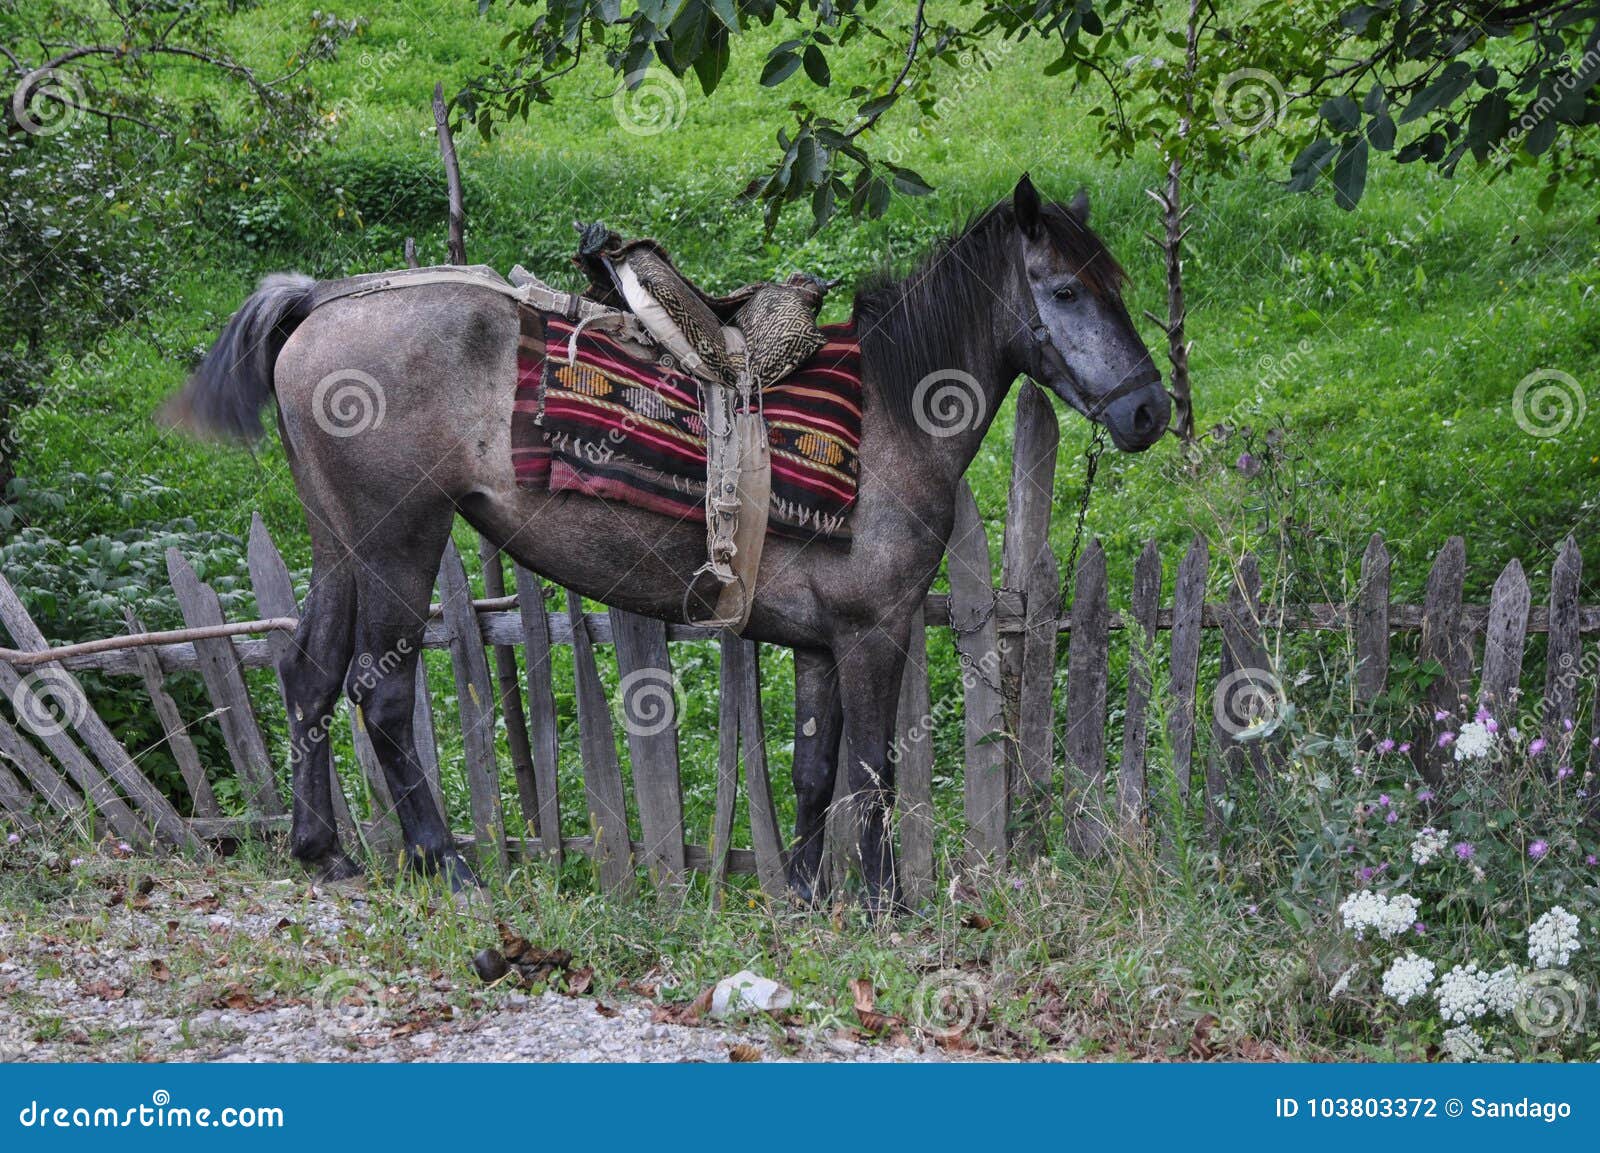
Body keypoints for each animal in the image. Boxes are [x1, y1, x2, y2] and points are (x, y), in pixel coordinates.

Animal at [169, 175, 1168, 910]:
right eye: (1067, 291)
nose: (1151, 411)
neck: (891, 412)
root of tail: (320, 300)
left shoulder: (820, 642)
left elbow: (814, 770)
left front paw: (805, 893)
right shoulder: (875, 633)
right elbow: (872, 769)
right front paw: (884, 902)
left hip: (339, 541)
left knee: (308, 672)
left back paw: (323, 849)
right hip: (399, 544)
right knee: (378, 695)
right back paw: (444, 863)